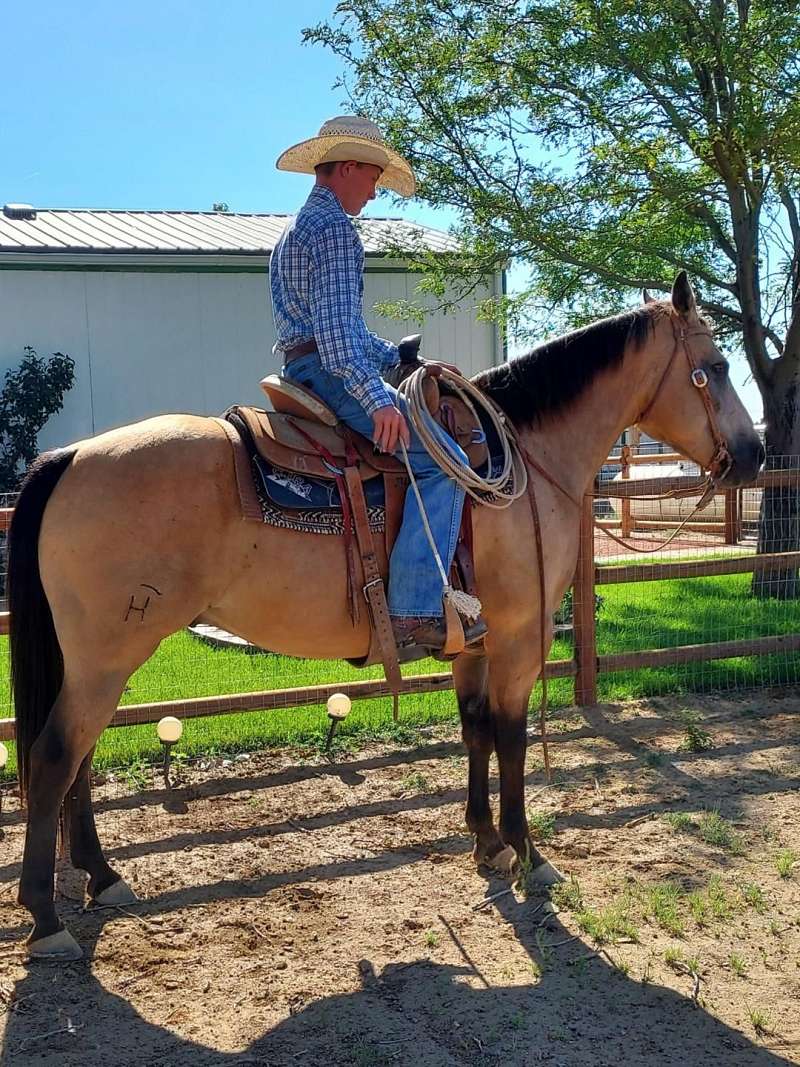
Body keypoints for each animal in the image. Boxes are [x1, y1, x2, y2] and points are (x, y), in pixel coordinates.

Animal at [7, 272, 763, 959]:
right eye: (718, 367)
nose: (754, 455)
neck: (524, 460)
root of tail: (70, 455)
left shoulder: (474, 643)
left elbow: (475, 732)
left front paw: (488, 844)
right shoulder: (519, 637)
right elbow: (512, 740)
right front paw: (530, 854)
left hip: (101, 660)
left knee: (79, 760)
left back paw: (102, 877)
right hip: (105, 658)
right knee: (54, 758)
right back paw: (45, 918)